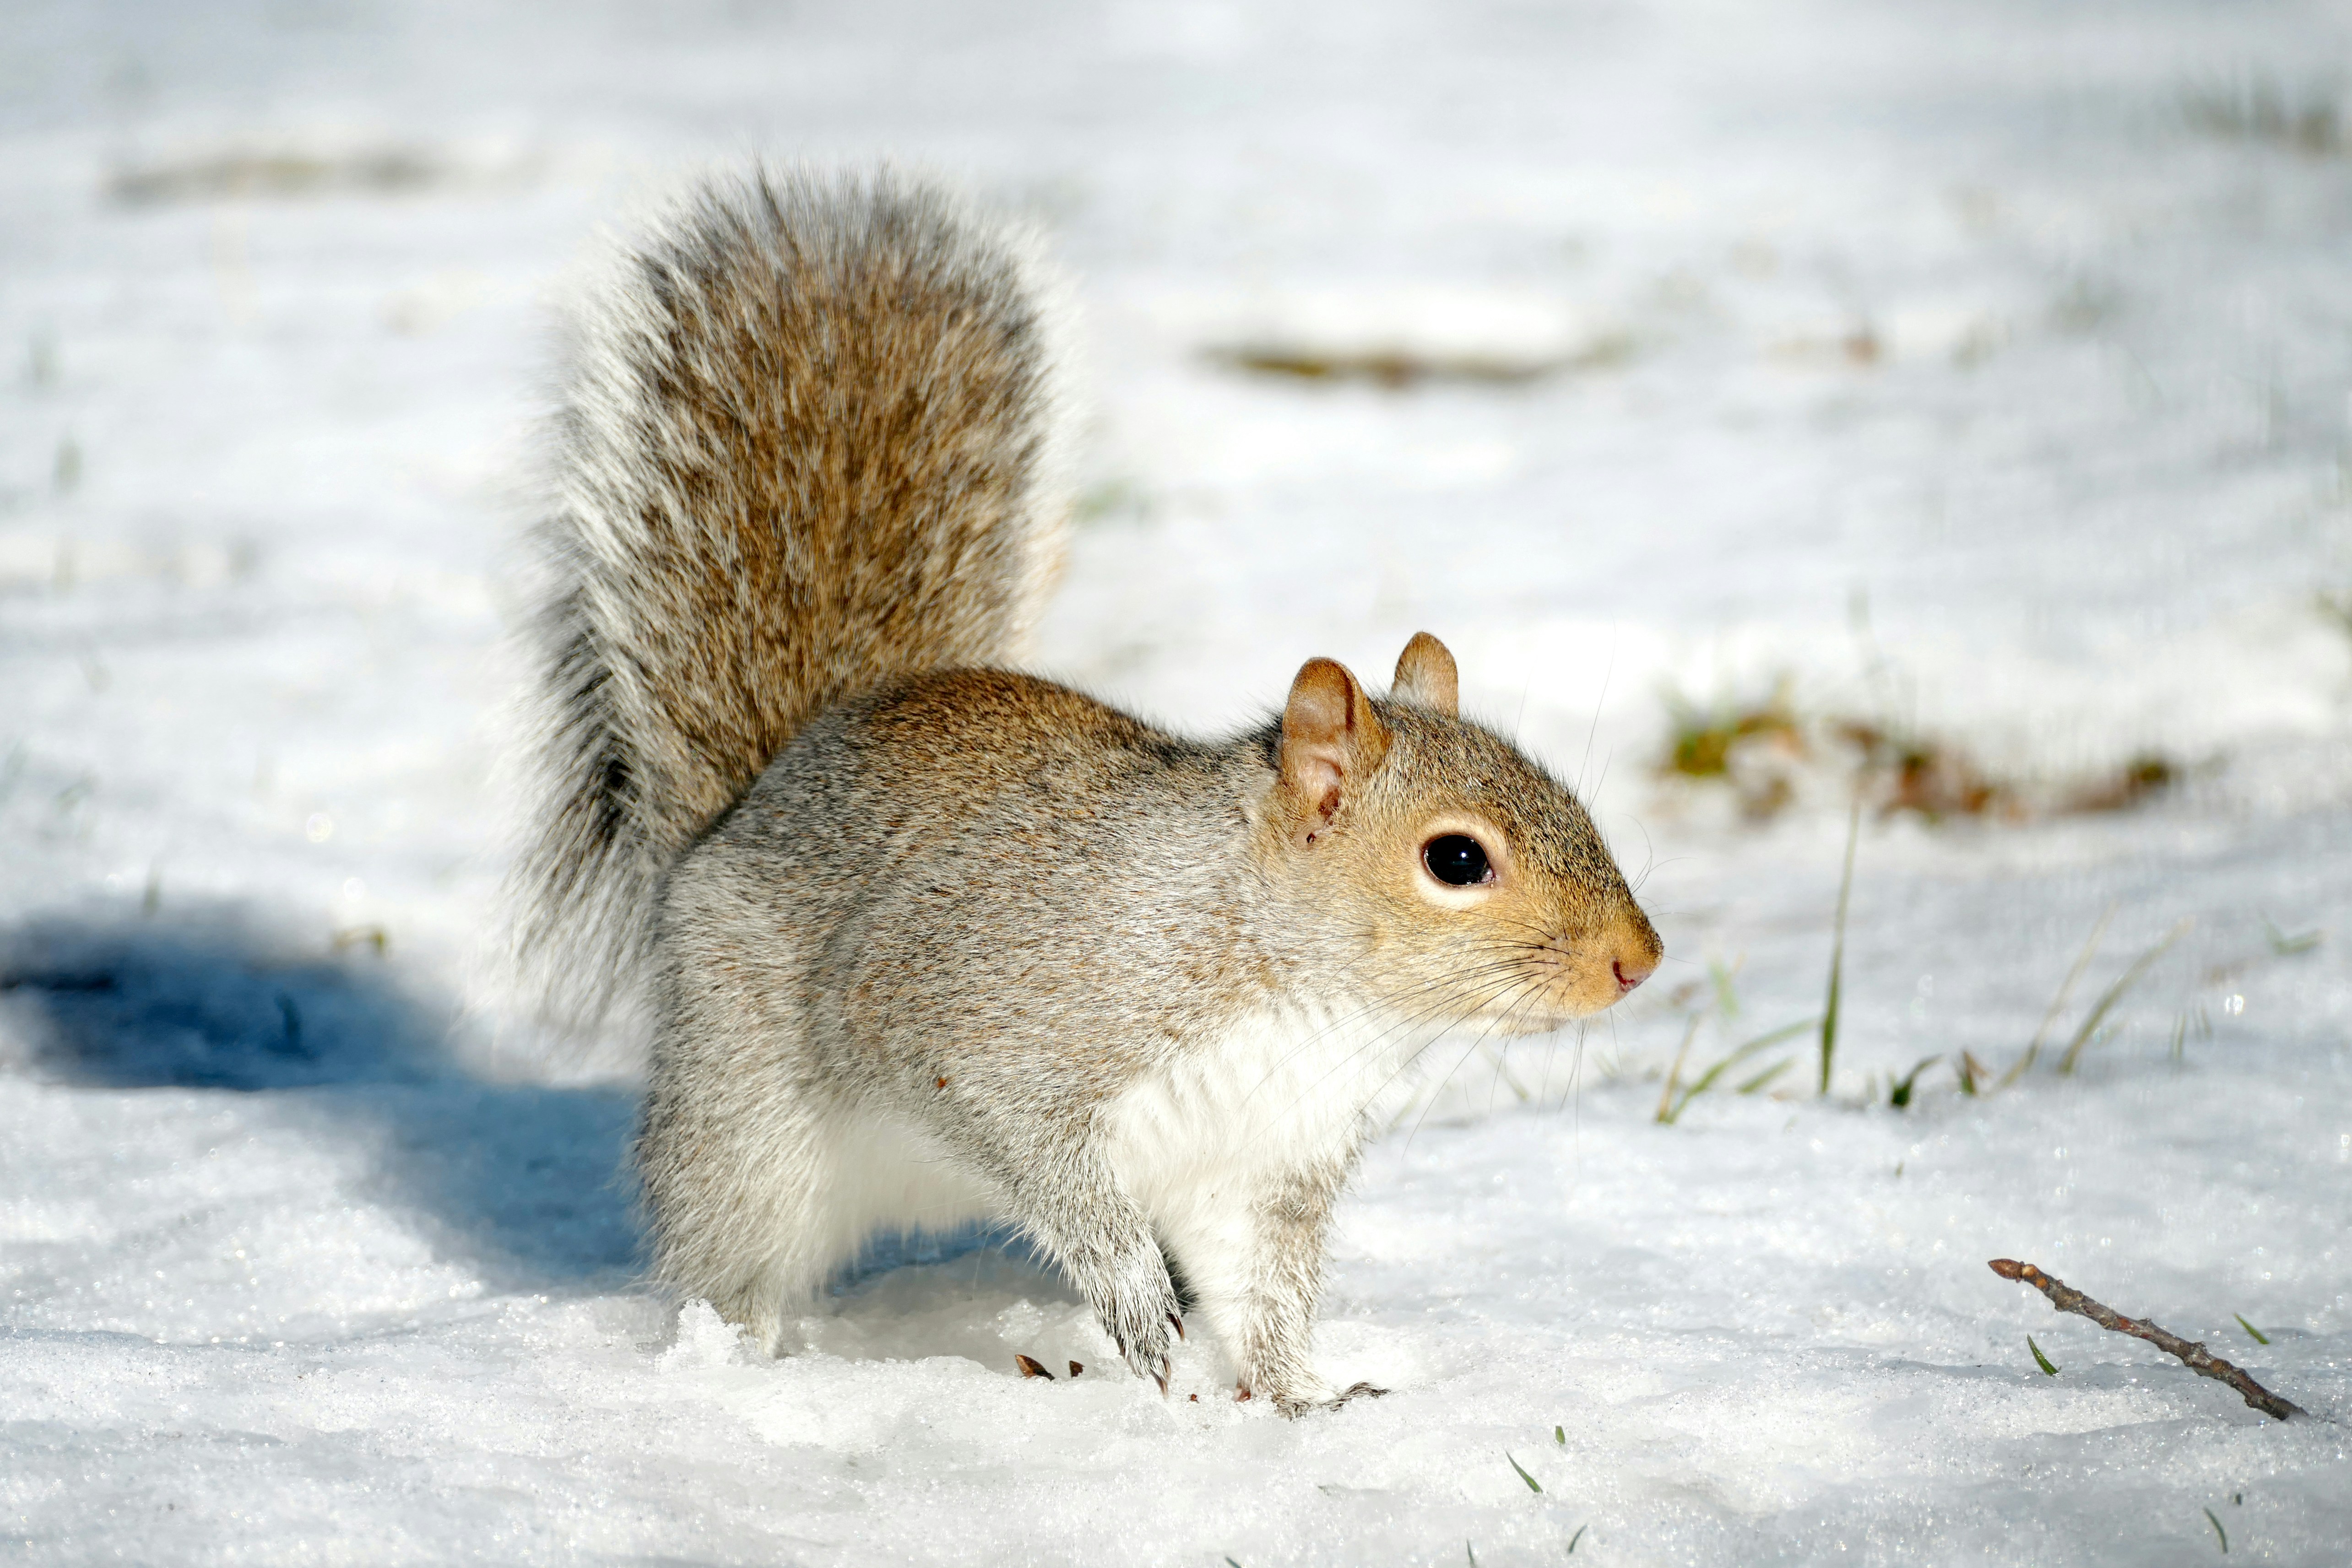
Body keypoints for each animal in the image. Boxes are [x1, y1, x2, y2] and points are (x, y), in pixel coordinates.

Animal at [509, 166, 1663, 1415]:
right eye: (1457, 859)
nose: (1638, 960)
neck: (1299, 988)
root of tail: (742, 810)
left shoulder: (1260, 1161)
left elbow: (1264, 1294)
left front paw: (1298, 1400)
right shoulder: (987, 1022)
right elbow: (1040, 1157)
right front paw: (1135, 1305)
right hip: (745, 1135)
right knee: (732, 1262)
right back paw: (738, 1369)